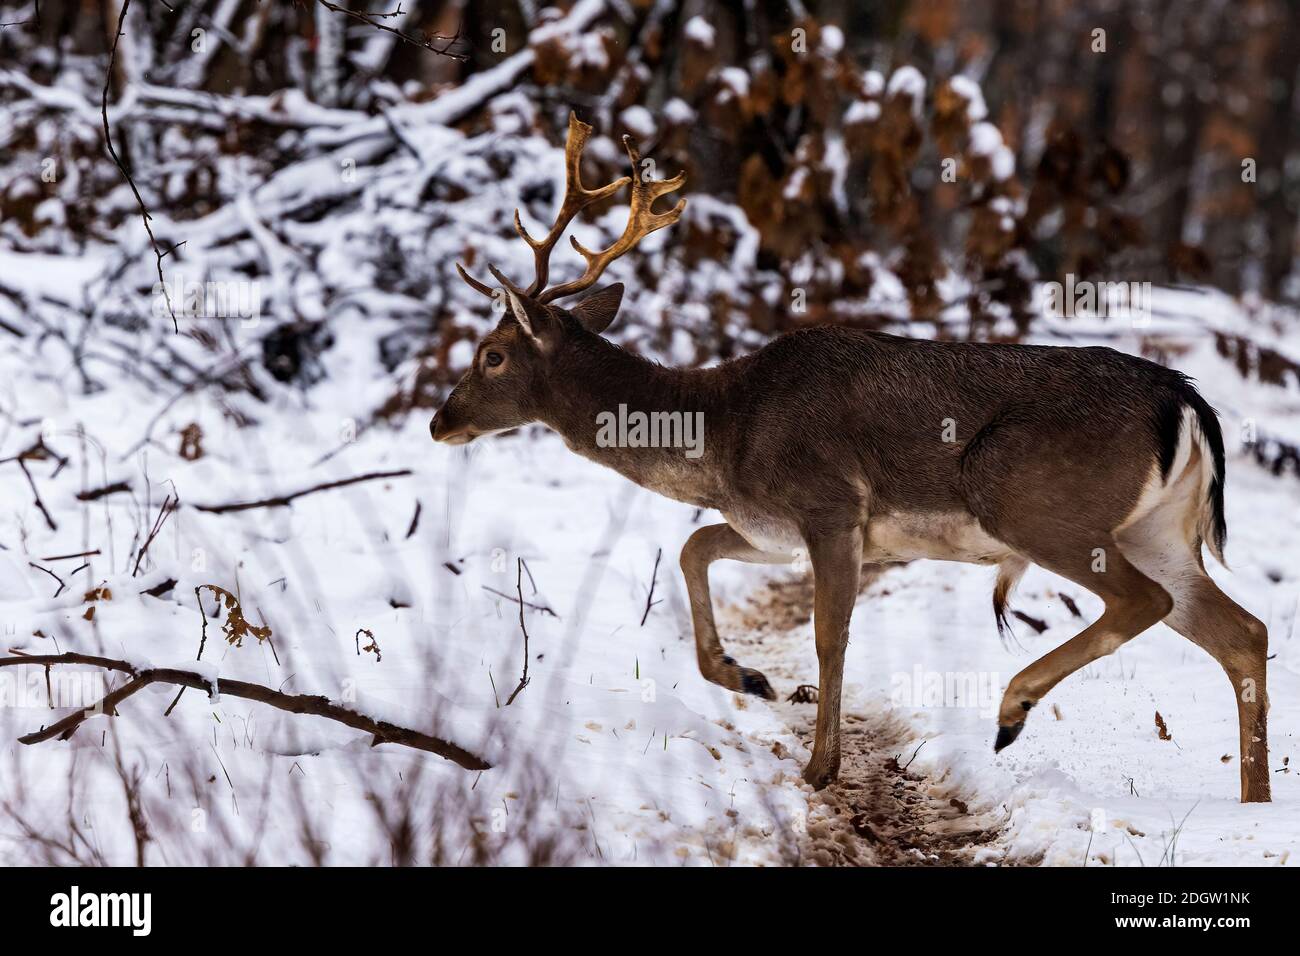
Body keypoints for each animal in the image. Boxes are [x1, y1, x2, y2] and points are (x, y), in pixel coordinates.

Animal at [432, 113, 1270, 803]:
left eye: (492, 355)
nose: (440, 423)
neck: (724, 428)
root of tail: (1186, 401)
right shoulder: (772, 527)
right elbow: (695, 545)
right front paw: (746, 677)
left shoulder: (831, 503)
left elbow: (828, 636)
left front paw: (818, 767)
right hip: (1155, 530)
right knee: (1242, 632)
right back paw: (1253, 802)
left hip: (1034, 499)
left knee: (1145, 603)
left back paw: (1011, 710)